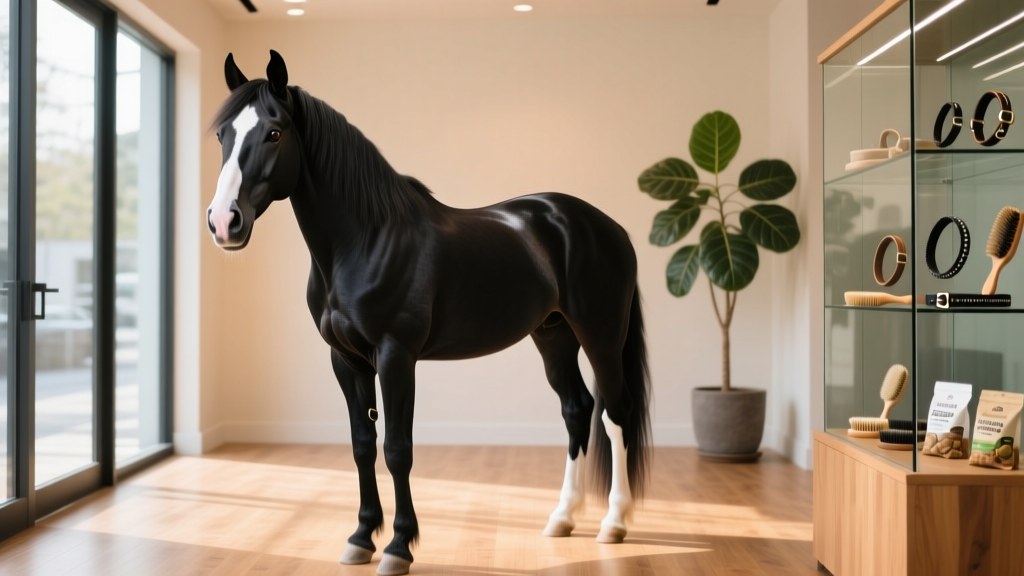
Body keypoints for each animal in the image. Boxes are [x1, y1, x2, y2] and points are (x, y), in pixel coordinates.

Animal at [207, 50, 651, 576]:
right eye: (223, 134)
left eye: (275, 132)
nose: (224, 222)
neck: (366, 240)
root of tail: (607, 226)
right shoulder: (346, 361)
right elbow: (362, 445)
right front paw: (360, 538)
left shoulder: (396, 357)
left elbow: (398, 450)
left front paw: (399, 546)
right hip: (553, 335)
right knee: (577, 410)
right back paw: (562, 518)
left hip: (600, 334)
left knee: (615, 413)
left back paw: (614, 525)